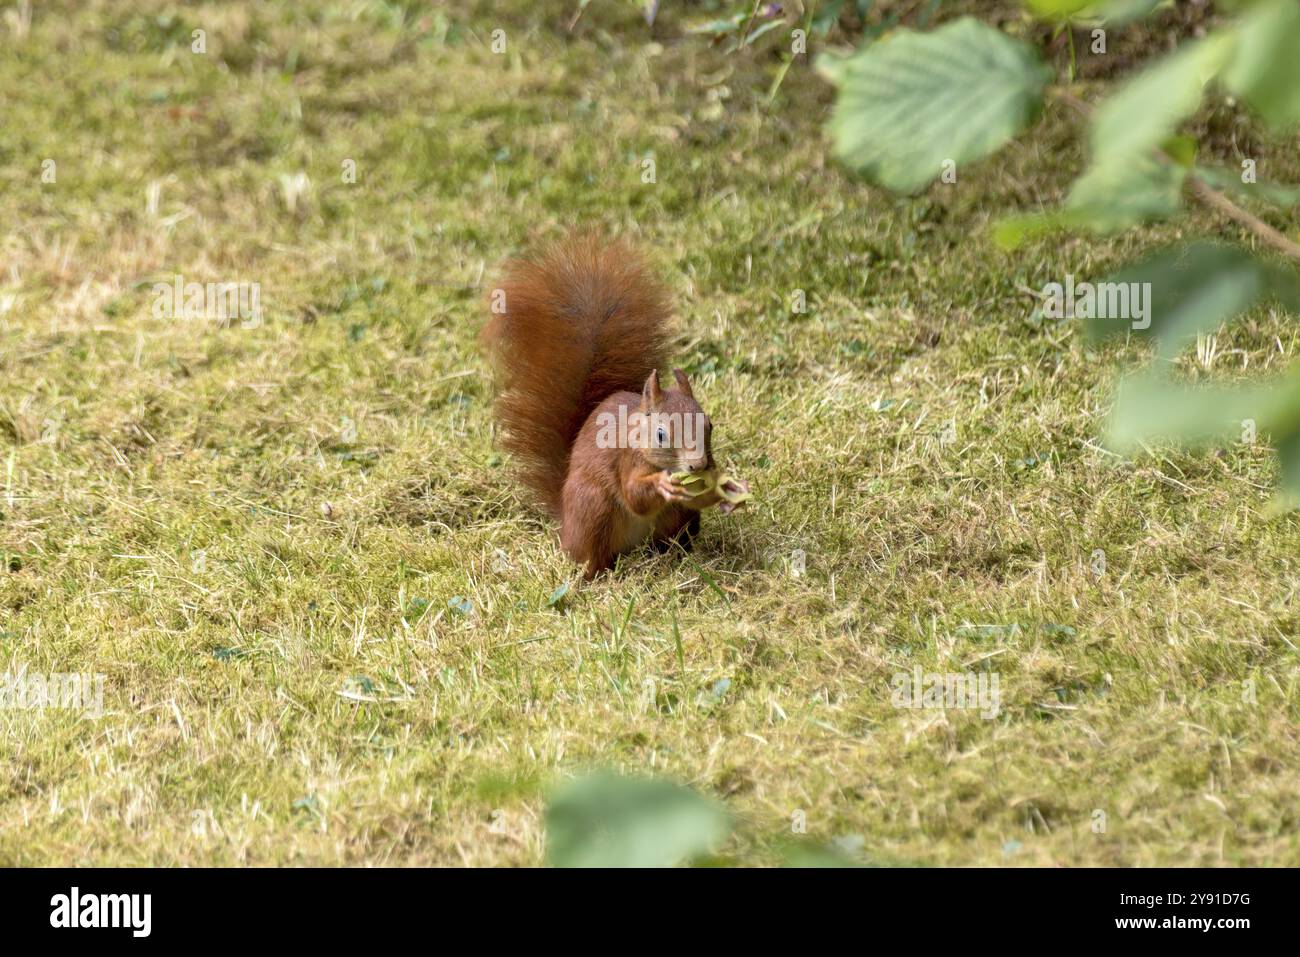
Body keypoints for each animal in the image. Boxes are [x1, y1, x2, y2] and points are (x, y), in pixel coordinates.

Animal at [483, 235, 746, 579]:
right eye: (661, 435)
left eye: (709, 426)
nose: (698, 465)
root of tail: (565, 525)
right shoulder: (626, 459)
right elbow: (635, 497)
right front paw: (661, 484)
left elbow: (699, 498)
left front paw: (731, 489)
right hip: (593, 508)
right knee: (593, 554)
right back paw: (596, 576)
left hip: (675, 522)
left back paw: (672, 558)